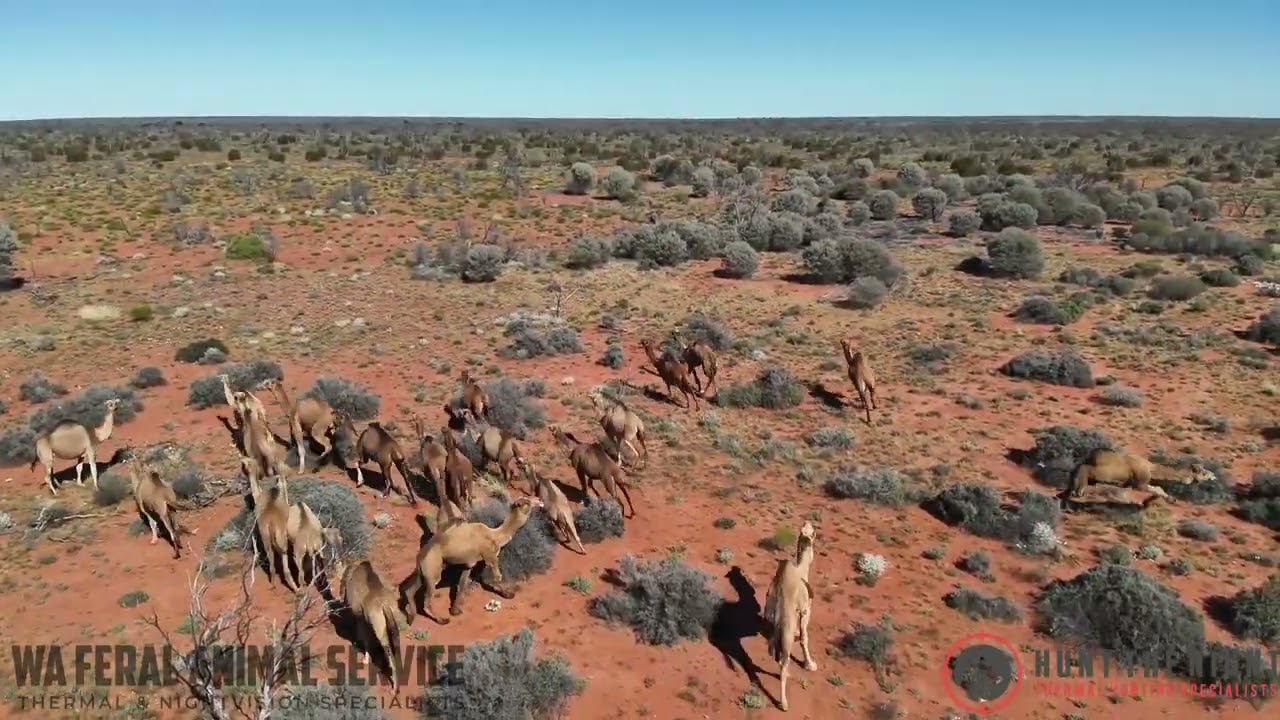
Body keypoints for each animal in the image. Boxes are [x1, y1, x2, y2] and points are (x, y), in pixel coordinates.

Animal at [326, 552, 404, 693]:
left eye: (334, 566)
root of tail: (385, 605)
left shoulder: (359, 617)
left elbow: (364, 638)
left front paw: (365, 659)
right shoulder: (365, 619)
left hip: (380, 629)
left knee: (388, 649)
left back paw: (394, 688)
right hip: (394, 623)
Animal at [401, 496, 544, 625]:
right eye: (527, 502)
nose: (540, 501)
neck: (495, 536)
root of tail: (420, 556)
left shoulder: (469, 564)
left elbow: (462, 585)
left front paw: (455, 610)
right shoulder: (490, 557)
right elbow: (497, 577)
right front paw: (508, 594)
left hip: (424, 571)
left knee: (410, 590)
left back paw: (411, 617)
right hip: (433, 571)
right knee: (426, 600)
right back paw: (442, 620)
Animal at [763, 520, 818, 712]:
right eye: (814, 533)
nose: (808, 522)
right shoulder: (805, 610)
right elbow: (804, 638)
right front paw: (810, 665)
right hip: (786, 626)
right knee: (783, 662)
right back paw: (784, 703)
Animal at [1061, 449, 1216, 510]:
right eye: (1203, 473)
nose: (1213, 476)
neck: (1152, 468)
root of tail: (1093, 454)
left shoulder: (1128, 484)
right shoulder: (1140, 483)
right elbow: (1157, 488)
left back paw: (1071, 494)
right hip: (1103, 472)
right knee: (1084, 468)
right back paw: (1079, 492)